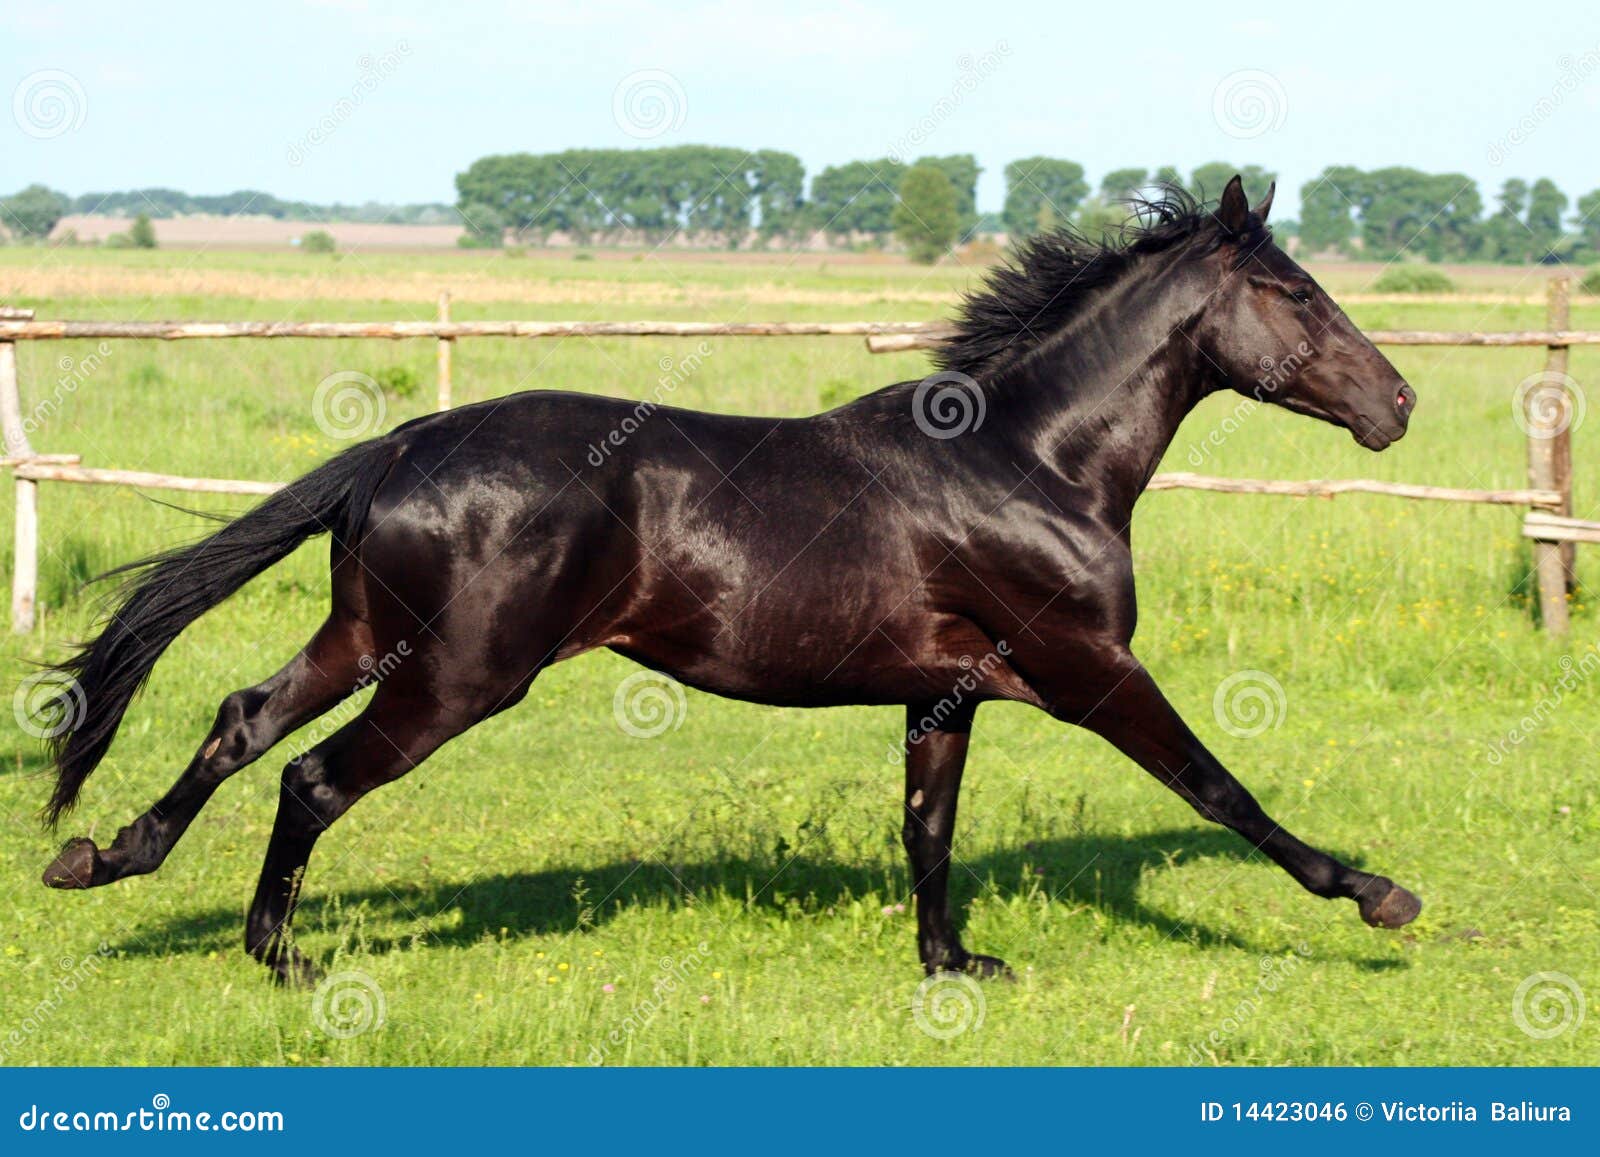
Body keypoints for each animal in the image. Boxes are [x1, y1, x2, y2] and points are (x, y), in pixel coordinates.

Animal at [37, 177, 1421, 984]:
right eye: (1291, 290)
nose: (1399, 405)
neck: (1032, 461)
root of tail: (398, 445)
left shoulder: (944, 692)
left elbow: (927, 827)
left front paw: (954, 964)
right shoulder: (1089, 665)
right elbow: (1218, 784)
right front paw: (1377, 894)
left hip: (371, 634)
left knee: (240, 720)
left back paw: (104, 858)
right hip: (459, 672)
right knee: (312, 776)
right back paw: (283, 959)